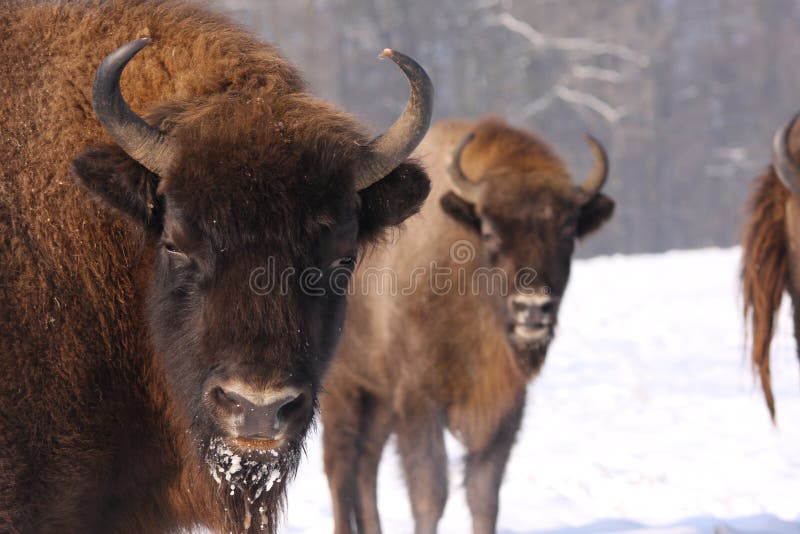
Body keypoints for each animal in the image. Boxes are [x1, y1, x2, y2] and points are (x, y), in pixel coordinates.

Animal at [321, 117, 615, 534]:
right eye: (489, 231)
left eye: (569, 232)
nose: (532, 309)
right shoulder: (418, 401)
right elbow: (430, 493)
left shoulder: (505, 408)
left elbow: (483, 495)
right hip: (345, 389)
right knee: (341, 465)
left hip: (378, 398)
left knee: (366, 466)